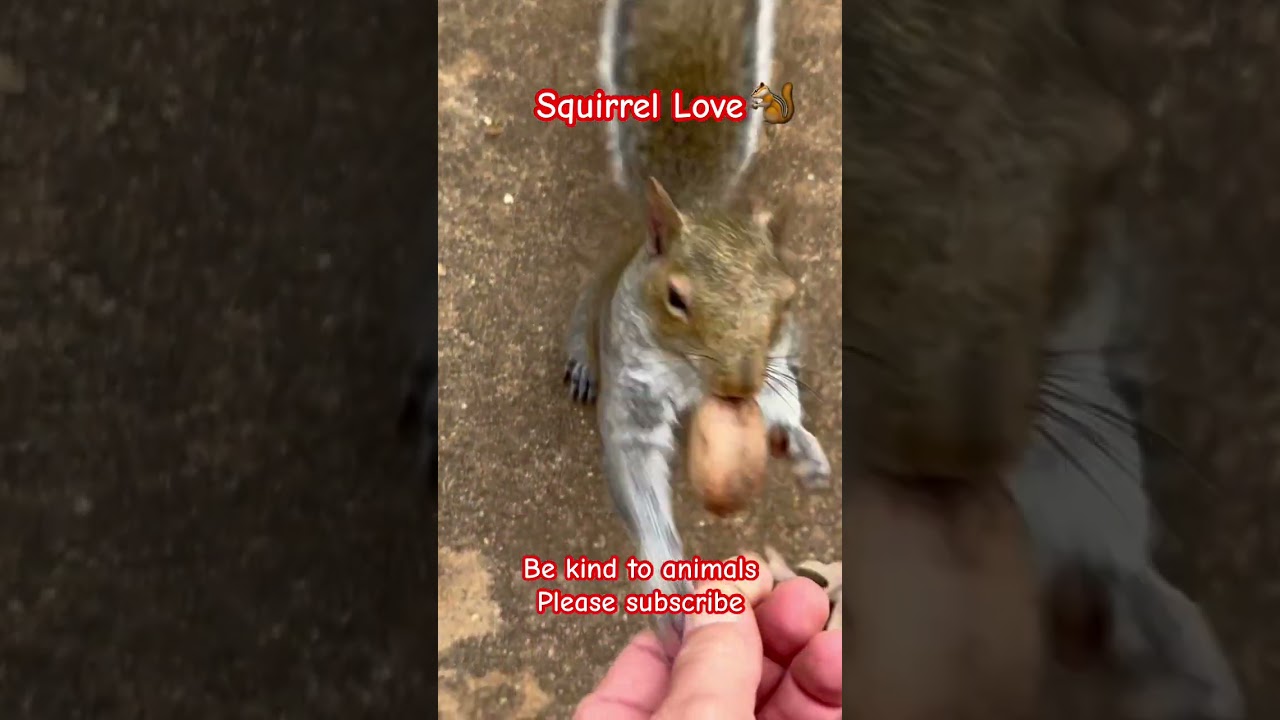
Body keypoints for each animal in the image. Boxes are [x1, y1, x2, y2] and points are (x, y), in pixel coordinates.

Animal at [564, 0, 831, 655]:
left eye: (787, 297)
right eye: (675, 299)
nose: (738, 385)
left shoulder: (776, 362)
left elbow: (783, 403)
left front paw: (802, 447)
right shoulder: (633, 381)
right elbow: (635, 466)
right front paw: (666, 582)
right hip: (599, 297)